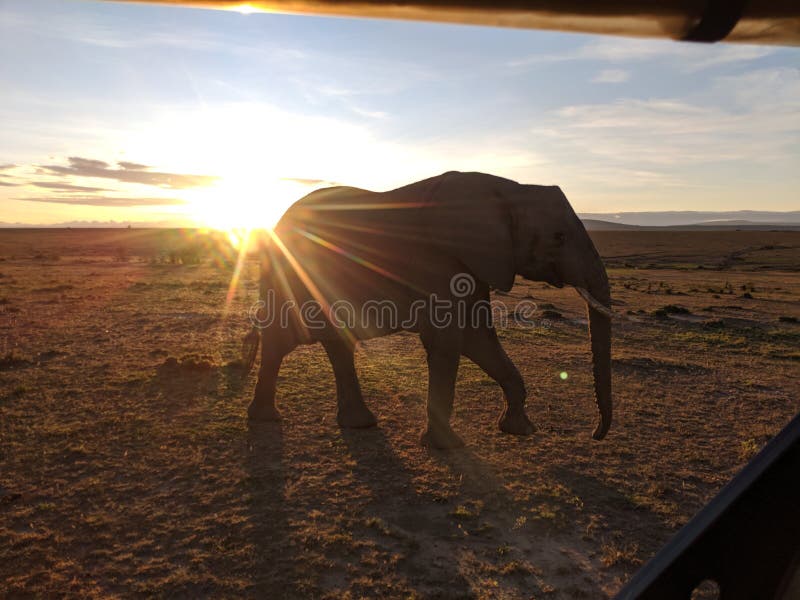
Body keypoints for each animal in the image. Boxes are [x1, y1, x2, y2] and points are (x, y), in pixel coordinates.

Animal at [244, 171, 613, 448]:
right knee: (282, 339)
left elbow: (478, 340)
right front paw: (446, 446)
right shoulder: (439, 261)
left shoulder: (474, 264)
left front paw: (518, 429)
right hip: (288, 275)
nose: (595, 434)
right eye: (559, 237)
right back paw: (265, 417)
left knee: (335, 344)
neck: (509, 189)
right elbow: (447, 341)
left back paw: (358, 423)